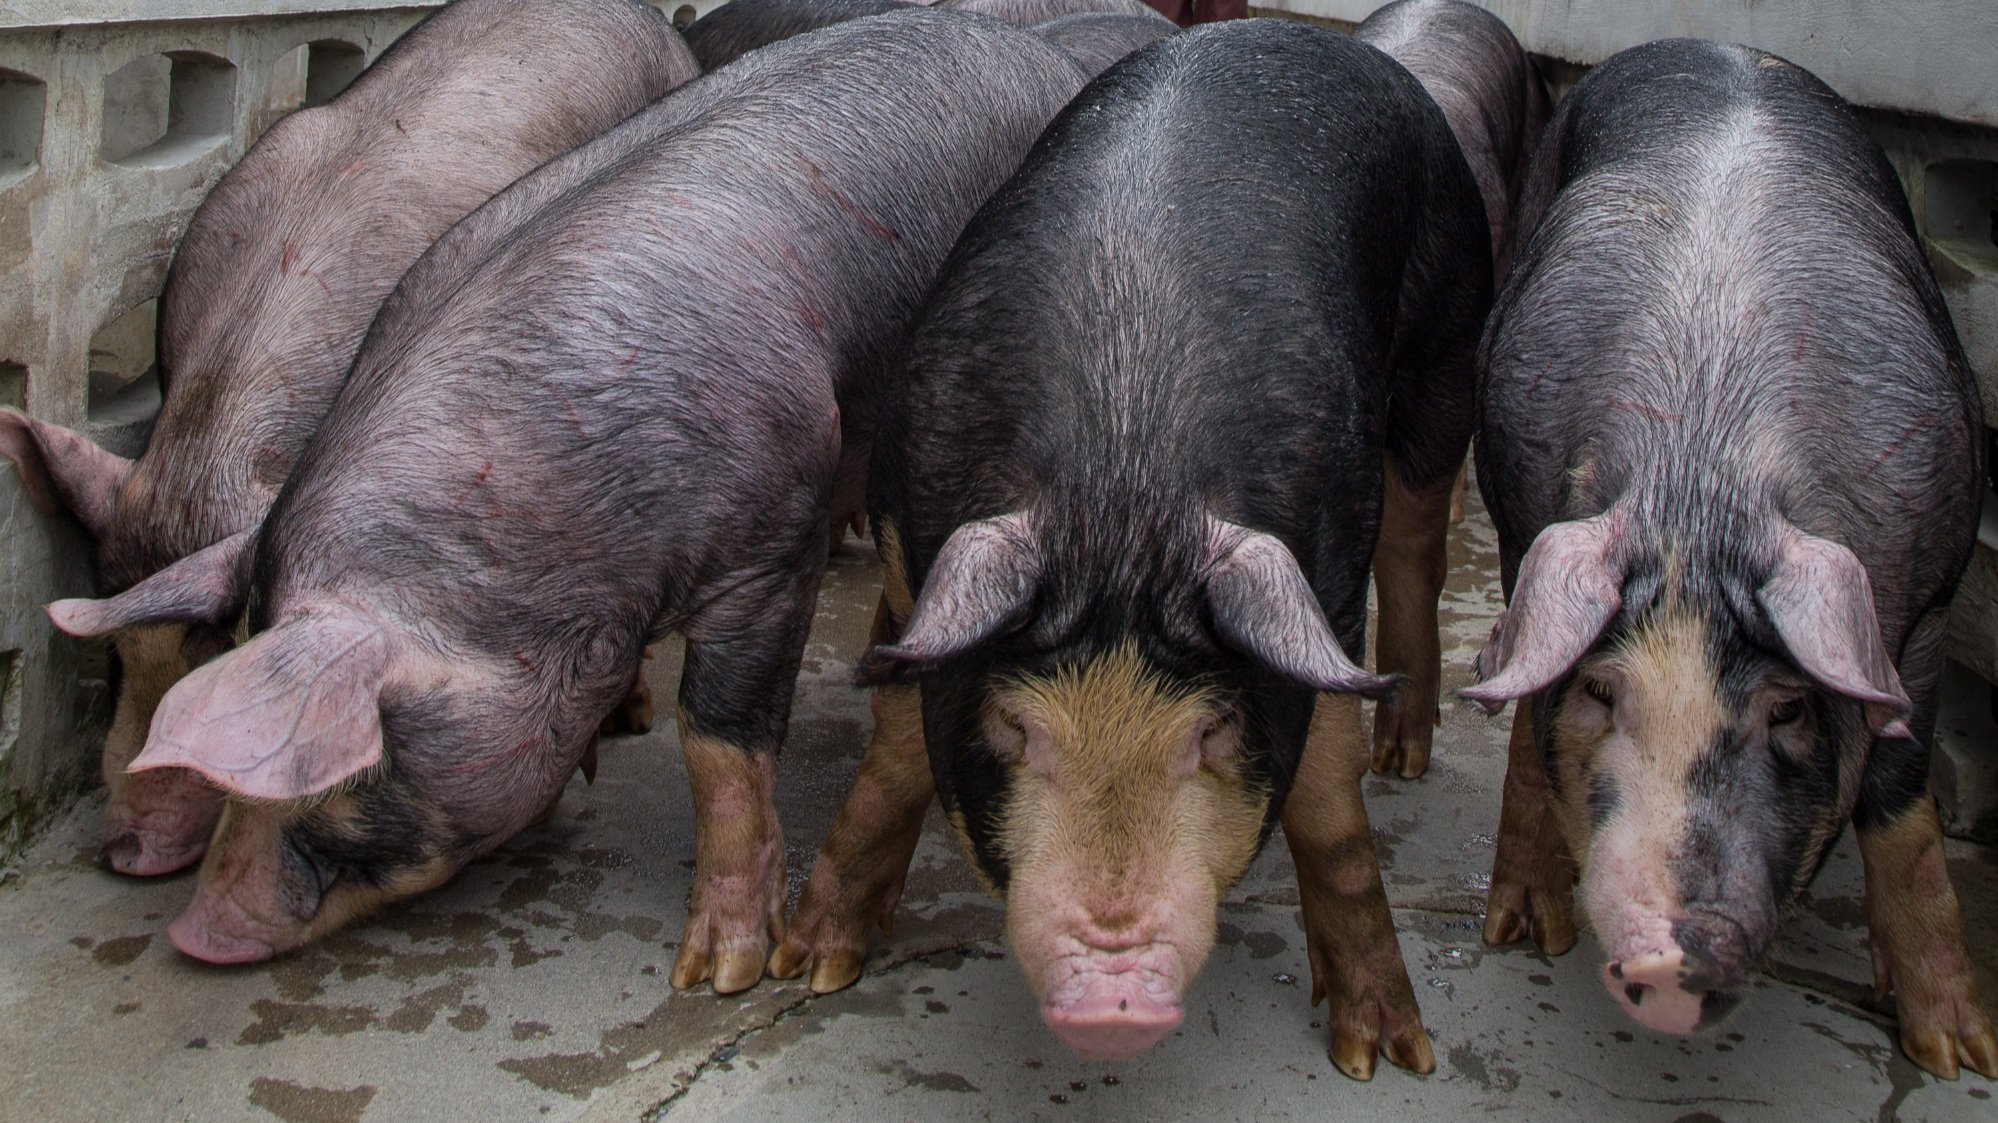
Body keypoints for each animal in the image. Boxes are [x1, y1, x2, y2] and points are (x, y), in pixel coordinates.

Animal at [773, 19, 1490, 1076]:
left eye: (1210, 732)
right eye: (1018, 729)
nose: (1115, 995)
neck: (1121, 487)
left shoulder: (1319, 587)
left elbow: (1327, 809)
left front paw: (1388, 1056)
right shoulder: (917, 553)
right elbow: (898, 754)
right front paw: (811, 965)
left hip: (1447, 346)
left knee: (1415, 550)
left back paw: (1403, 757)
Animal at [1459, 39, 1996, 1080]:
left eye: (1787, 707)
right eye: (1602, 690)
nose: (1676, 957)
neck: (1705, 480)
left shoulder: (1931, 601)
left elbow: (1901, 800)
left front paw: (1955, 1053)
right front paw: (1527, 935)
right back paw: (1520, 930)